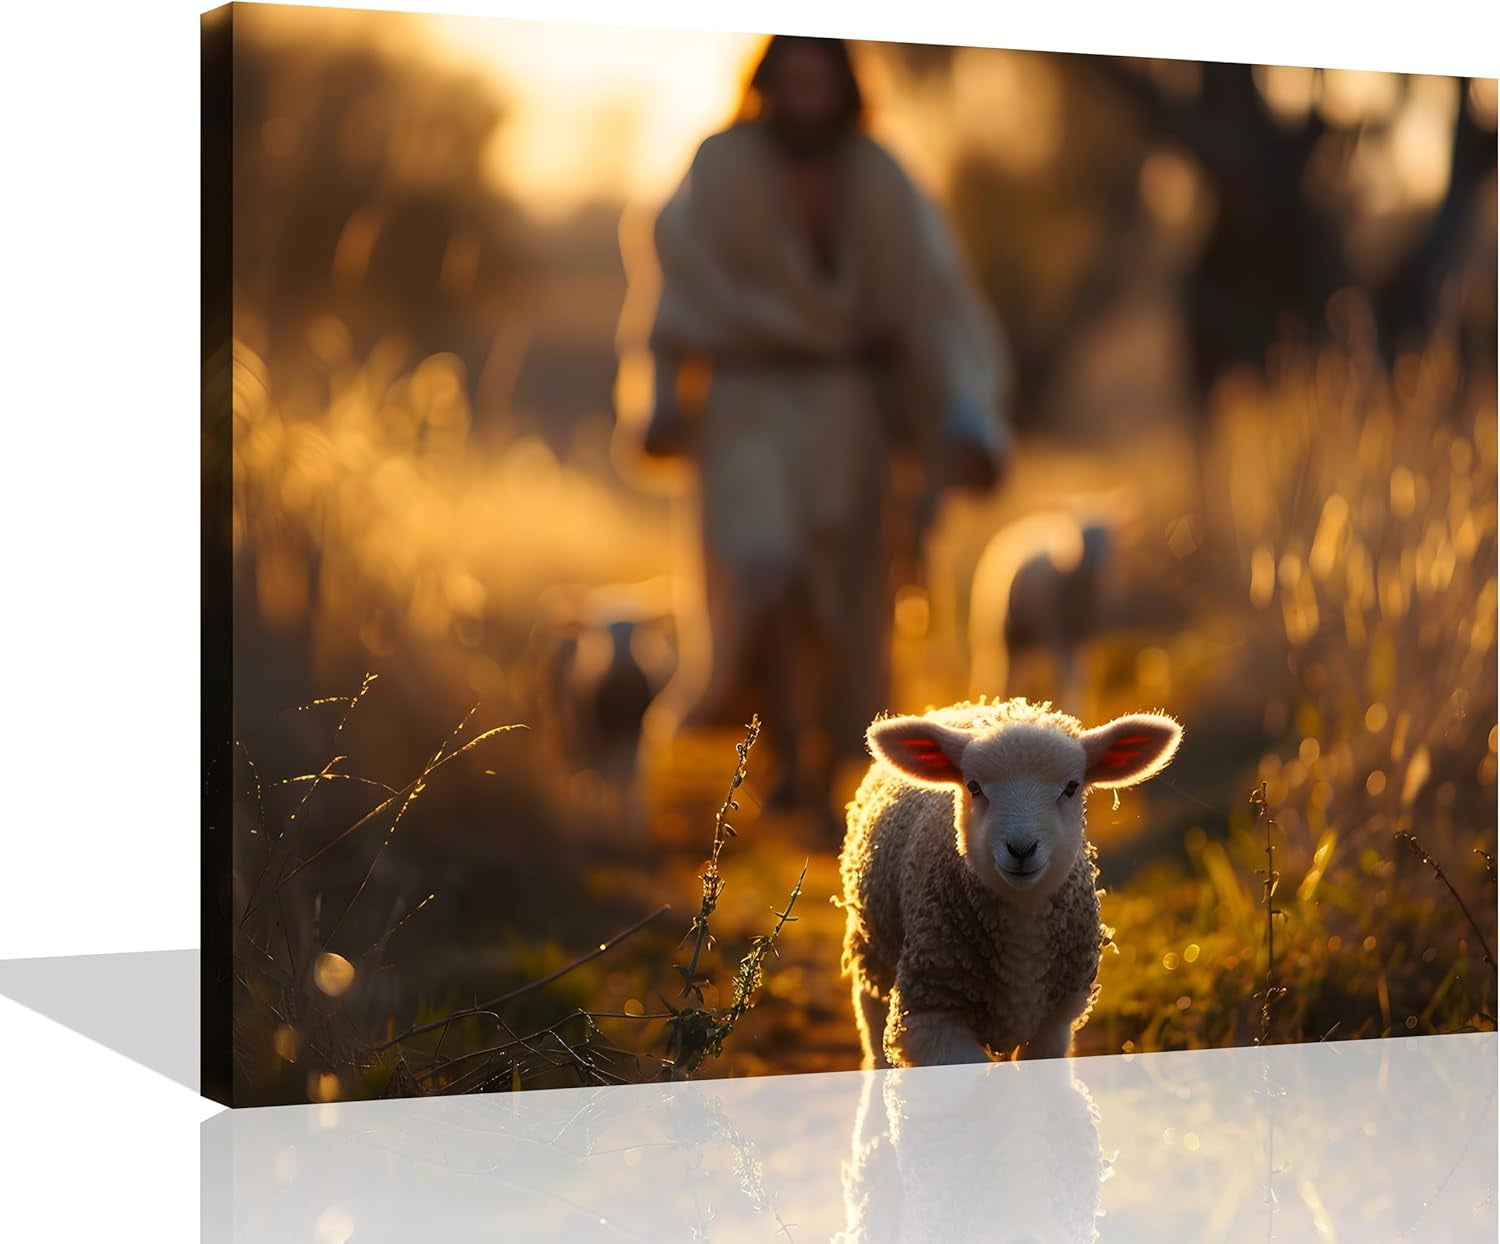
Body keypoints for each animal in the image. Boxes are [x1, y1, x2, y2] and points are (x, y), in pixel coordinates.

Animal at [838, 697, 1182, 1068]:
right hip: (873, 954)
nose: (1021, 848)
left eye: (1071, 787)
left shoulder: (1054, 1021)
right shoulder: (930, 1016)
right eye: (974, 787)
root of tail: (976, 705)